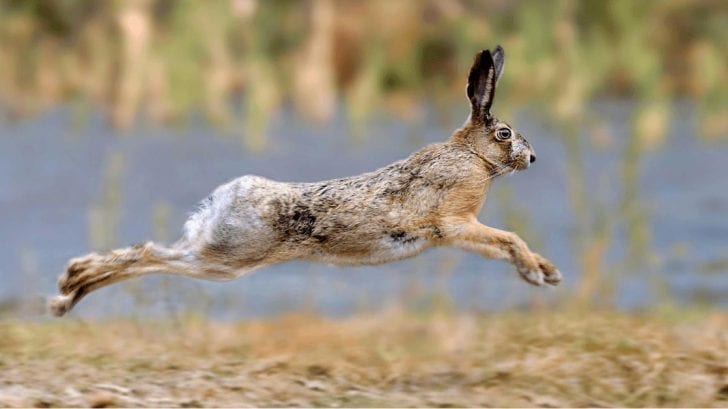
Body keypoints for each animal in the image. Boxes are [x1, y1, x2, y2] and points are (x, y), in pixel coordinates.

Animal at [49, 45, 561, 317]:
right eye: (504, 134)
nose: (534, 157)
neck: (470, 155)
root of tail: (222, 199)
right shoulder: (454, 223)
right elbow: (508, 239)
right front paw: (537, 273)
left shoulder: (458, 230)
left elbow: (504, 244)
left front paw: (548, 272)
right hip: (226, 258)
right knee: (153, 256)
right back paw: (68, 289)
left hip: (221, 256)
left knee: (151, 254)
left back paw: (70, 288)